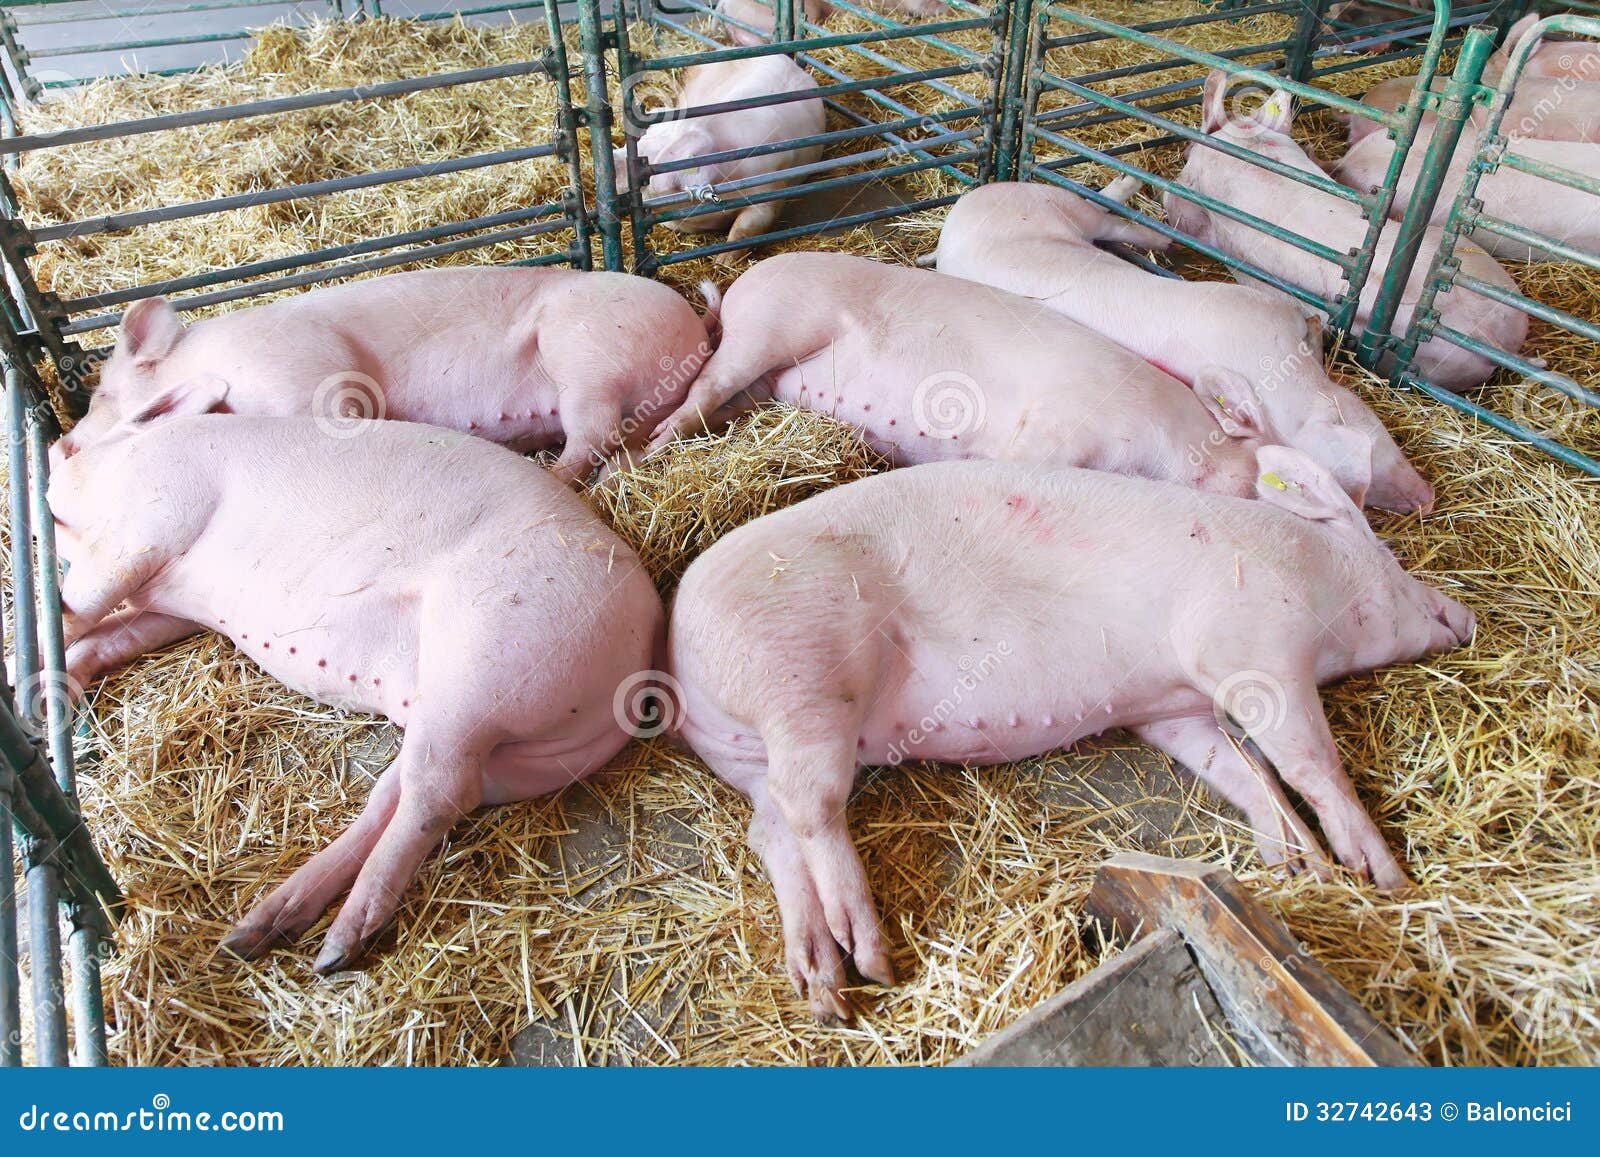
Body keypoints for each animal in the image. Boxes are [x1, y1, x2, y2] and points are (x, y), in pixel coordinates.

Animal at [52, 416, 664, 971]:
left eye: (83, 441)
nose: (60, 451)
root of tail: (645, 639)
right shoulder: (172, 607)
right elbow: (110, 637)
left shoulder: (146, 524)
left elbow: (78, 607)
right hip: (496, 746)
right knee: (403, 795)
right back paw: (253, 934)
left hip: (479, 668)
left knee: (435, 795)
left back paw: (335, 949)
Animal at [56, 266, 717, 483]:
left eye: (104, 394)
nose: (62, 444)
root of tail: (694, 325)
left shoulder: (311, 370)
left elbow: (344, 416)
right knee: (625, 447)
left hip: (586, 358)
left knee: (592, 437)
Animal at [643, 252, 1282, 499]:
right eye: (1271, 473)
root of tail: (741, 285)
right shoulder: (1062, 427)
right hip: (768, 328)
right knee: (703, 388)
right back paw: (648, 450)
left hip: (765, 376)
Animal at [668, 449, 1474, 1020]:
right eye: (1393, 559)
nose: (1462, 614)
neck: (1317, 577)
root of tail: (679, 652)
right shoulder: (1251, 650)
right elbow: (1310, 762)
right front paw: (1381, 877)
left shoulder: (1173, 708)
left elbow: (1246, 772)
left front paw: (1300, 865)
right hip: (803, 679)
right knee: (812, 807)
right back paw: (873, 959)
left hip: (760, 747)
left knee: (772, 829)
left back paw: (824, 987)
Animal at [933, 179, 1434, 512]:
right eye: (1346, 436)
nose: (1426, 497)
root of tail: (966, 204)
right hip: (1056, 206)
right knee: (1107, 215)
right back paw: (1158, 226)